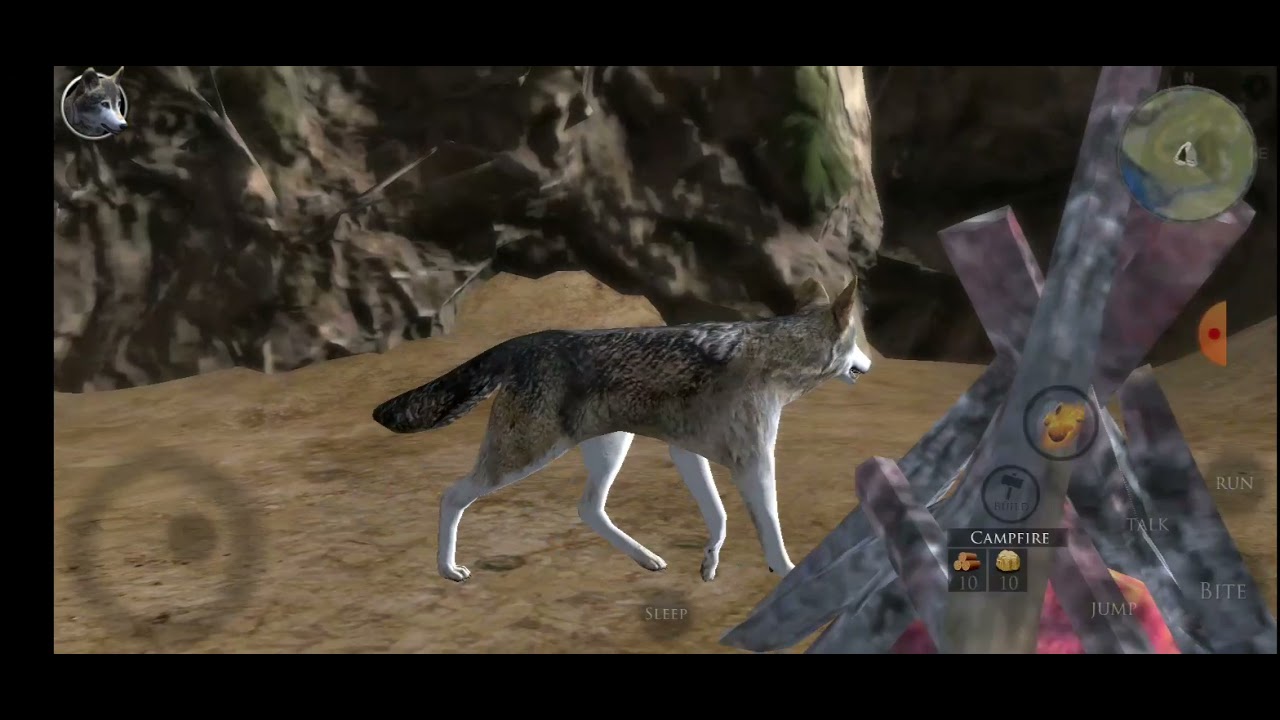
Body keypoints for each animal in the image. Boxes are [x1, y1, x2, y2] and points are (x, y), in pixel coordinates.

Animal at [372, 276, 872, 583]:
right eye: (860, 343)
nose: (870, 363)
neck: (775, 355)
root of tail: (527, 341)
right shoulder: (754, 462)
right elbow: (768, 525)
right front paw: (787, 572)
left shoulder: (686, 453)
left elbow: (718, 516)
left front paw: (710, 561)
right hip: (524, 457)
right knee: (452, 494)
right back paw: (447, 569)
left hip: (612, 447)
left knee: (588, 508)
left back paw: (645, 557)